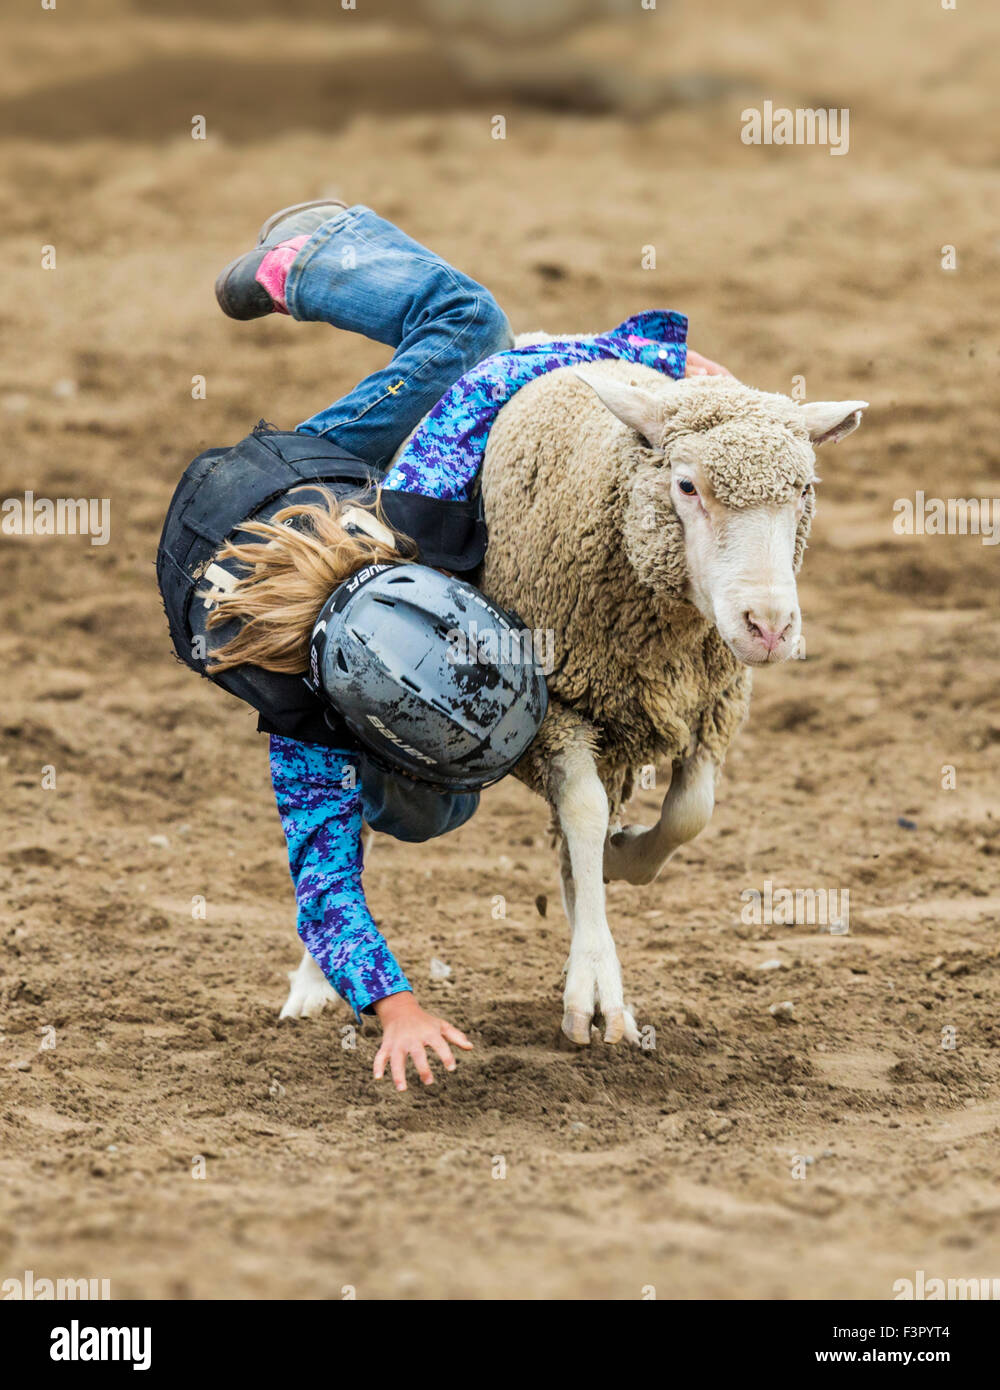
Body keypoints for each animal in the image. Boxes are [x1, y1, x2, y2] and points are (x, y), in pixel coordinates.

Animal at [477, 361, 867, 1045]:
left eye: (802, 490)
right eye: (686, 485)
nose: (770, 627)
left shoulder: (716, 705)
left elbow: (691, 812)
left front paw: (622, 857)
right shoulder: (551, 715)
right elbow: (583, 811)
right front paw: (594, 983)